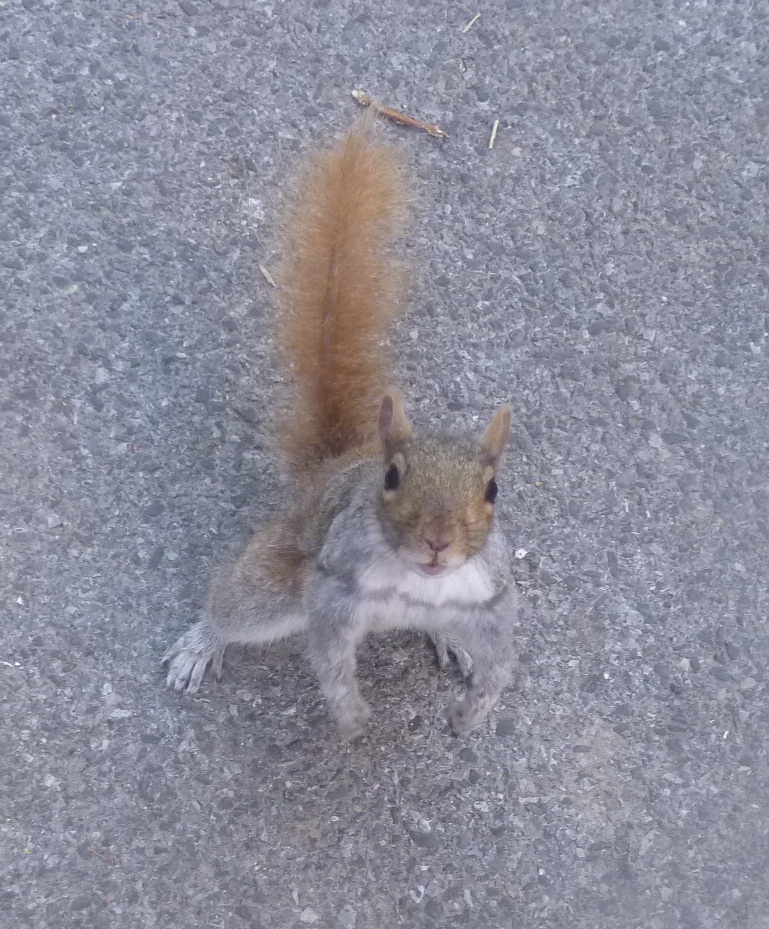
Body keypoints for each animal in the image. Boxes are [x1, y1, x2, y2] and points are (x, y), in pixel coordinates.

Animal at [163, 117, 517, 739]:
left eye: (493, 490)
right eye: (392, 478)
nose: (438, 542)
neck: (417, 580)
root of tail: (326, 469)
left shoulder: (487, 594)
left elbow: (498, 657)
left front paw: (476, 709)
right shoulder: (334, 582)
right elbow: (329, 653)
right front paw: (350, 715)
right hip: (279, 579)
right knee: (234, 605)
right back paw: (201, 641)